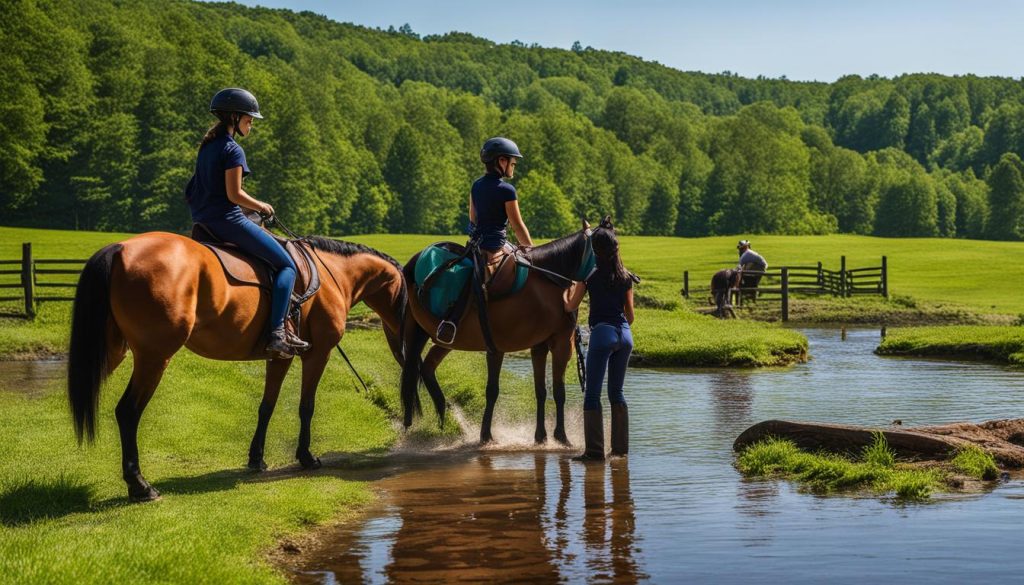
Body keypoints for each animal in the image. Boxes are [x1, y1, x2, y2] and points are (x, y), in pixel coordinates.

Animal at [67, 232, 407, 502]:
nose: (407, 350)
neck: (333, 273)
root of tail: (120, 248)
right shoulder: (318, 354)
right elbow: (306, 406)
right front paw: (306, 457)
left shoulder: (280, 356)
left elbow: (267, 406)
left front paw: (256, 458)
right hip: (153, 358)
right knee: (128, 412)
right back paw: (140, 485)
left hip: (112, 353)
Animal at [400, 218, 606, 445]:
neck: (552, 281)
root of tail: (416, 261)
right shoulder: (557, 344)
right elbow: (548, 391)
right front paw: (560, 436)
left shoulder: (538, 346)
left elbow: (541, 390)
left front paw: (541, 436)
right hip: (420, 333)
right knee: (413, 371)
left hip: (438, 338)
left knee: (425, 369)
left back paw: (440, 417)